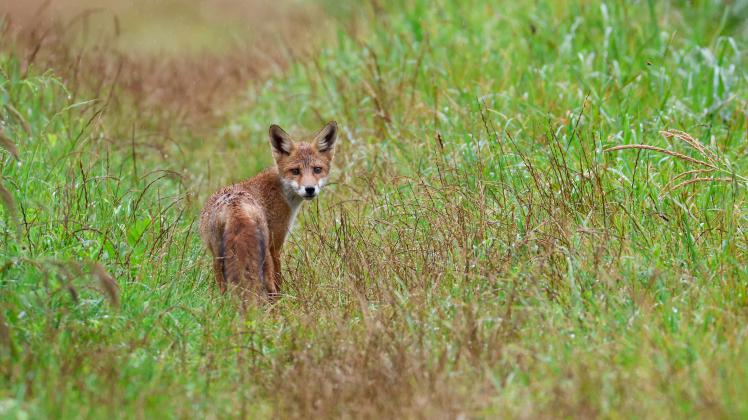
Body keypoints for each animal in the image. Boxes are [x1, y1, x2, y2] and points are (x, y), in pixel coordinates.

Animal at [199, 121, 338, 300]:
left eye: (317, 169)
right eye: (295, 171)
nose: (309, 189)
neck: (281, 190)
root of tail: (236, 206)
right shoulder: (275, 244)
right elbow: (279, 279)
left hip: (217, 255)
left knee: (223, 288)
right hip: (262, 253)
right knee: (268, 285)